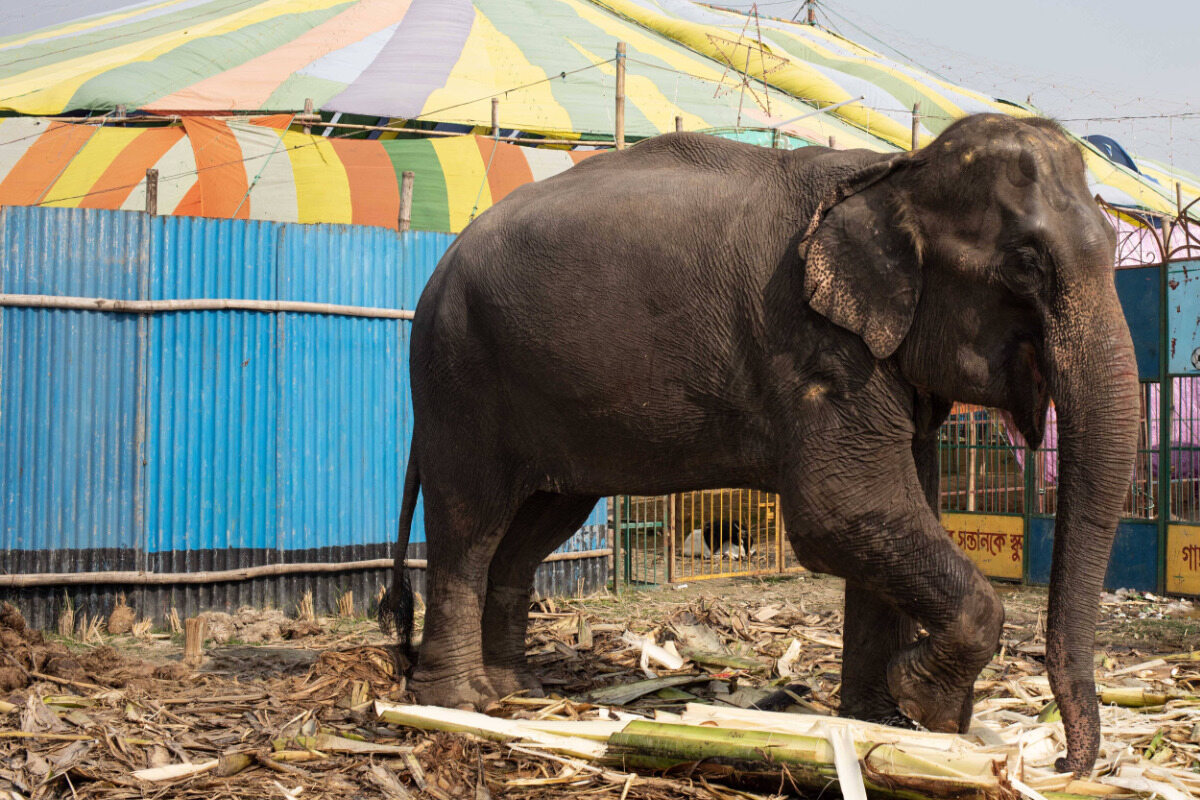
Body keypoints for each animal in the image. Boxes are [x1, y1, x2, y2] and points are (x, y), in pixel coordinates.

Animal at [381, 113, 1139, 775]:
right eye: (1026, 264)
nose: (1067, 762)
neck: (897, 169)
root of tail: (437, 267)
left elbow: (897, 510)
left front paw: (878, 722)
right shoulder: (816, 347)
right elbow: (843, 511)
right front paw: (933, 710)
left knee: (537, 523)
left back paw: (516, 689)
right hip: (460, 374)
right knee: (469, 521)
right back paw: (457, 705)